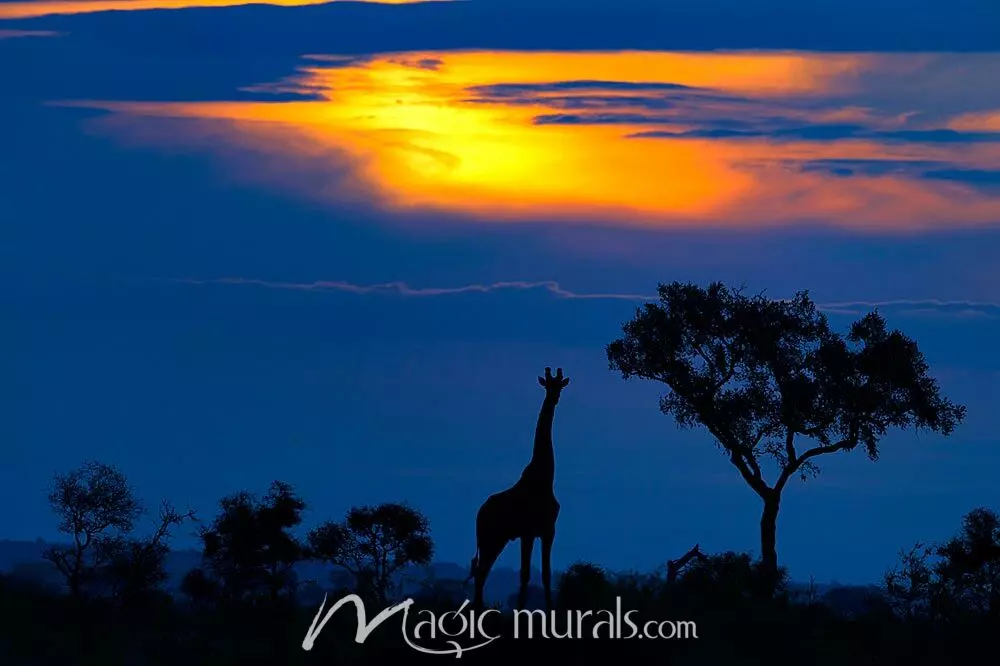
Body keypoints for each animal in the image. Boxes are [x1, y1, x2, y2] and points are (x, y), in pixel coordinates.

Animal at [469, 367, 570, 611]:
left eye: (560, 385)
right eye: (547, 385)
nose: (554, 398)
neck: (544, 479)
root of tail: (480, 512)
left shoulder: (548, 530)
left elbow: (546, 574)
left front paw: (550, 611)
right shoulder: (528, 531)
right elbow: (525, 574)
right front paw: (521, 612)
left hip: (498, 539)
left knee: (482, 572)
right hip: (489, 536)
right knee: (481, 572)